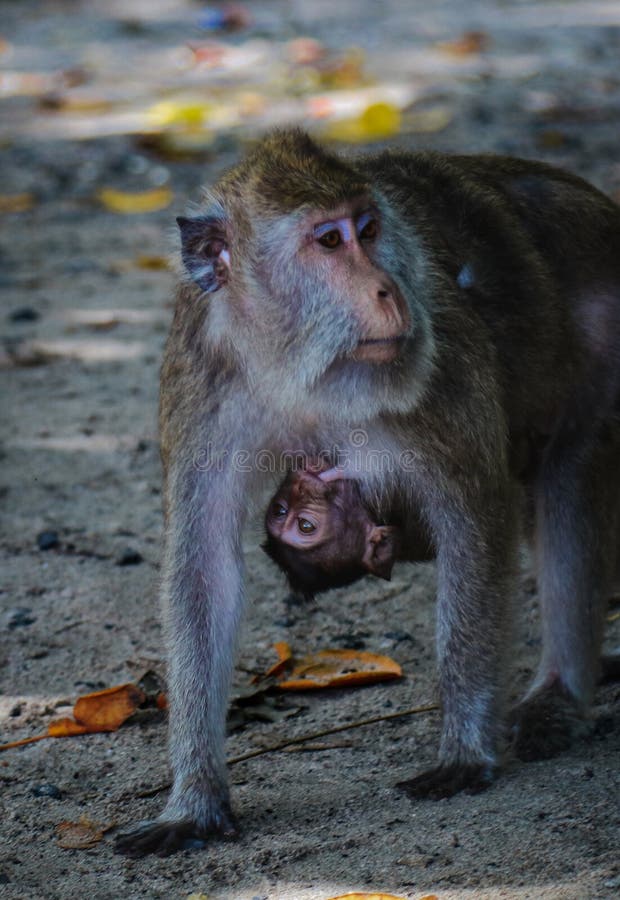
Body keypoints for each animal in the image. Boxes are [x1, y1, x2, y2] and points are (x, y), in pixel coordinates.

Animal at [115, 129, 620, 856]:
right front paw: (195, 799)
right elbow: (204, 568)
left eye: (369, 229)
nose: (388, 289)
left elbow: (473, 519)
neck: (294, 363)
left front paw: (465, 749)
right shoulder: (199, 377)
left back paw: (562, 692)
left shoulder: (444, 361)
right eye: (328, 241)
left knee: (569, 475)